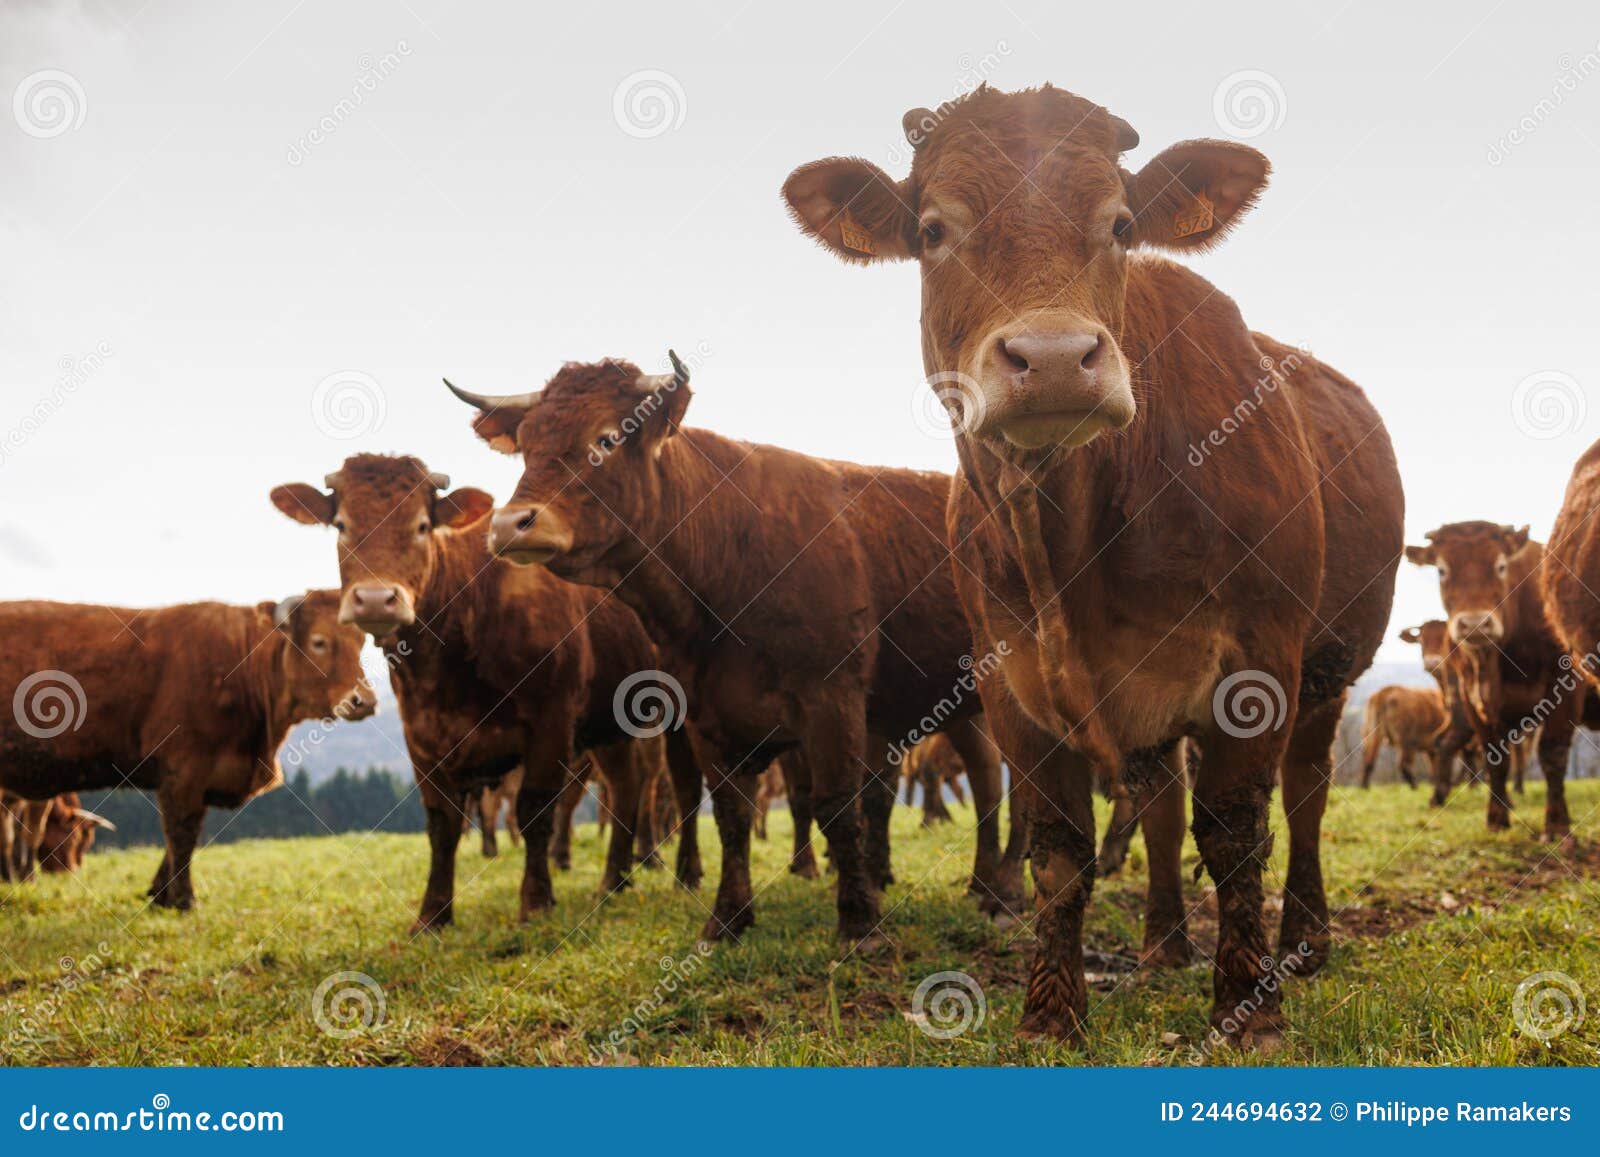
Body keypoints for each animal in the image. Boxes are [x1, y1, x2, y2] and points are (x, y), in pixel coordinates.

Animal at [0, 591, 374, 908]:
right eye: (319, 641)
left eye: (361, 641)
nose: (365, 700)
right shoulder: (184, 769)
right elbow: (182, 833)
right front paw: (183, 900)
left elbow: (185, 835)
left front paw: (159, 895)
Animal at [271, 455, 682, 930]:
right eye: (340, 525)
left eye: (422, 525)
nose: (374, 599)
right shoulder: (422, 735)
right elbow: (442, 822)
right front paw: (432, 915)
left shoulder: (552, 719)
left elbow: (534, 810)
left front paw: (535, 902)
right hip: (609, 724)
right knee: (625, 786)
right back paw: (615, 880)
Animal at [447, 359, 1028, 943]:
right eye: (526, 445)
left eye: (606, 438)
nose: (510, 523)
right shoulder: (706, 714)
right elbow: (730, 813)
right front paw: (727, 918)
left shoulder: (832, 697)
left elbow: (838, 806)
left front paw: (859, 924)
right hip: (960, 703)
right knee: (985, 775)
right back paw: (984, 882)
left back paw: (1004, 891)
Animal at [780, 84, 1404, 1045]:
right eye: (932, 229)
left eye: (1120, 223)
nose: (1052, 359)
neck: (1075, 528)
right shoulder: (1012, 680)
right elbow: (1062, 850)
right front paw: (1051, 1012)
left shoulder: (1260, 658)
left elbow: (1236, 832)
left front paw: (1247, 1006)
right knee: (1163, 806)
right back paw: (1161, 942)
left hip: (1331, 666)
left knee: (1304, 795)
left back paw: (1303, 939)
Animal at [1407, 522, 1577, 839]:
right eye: (1442, 570)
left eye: (1500, 566)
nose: (1475, 624)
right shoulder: (1472, 701)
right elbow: (1494, 757)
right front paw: (1497, 818)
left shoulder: (1567, 684)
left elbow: (1553, 753)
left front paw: (1557, 825)